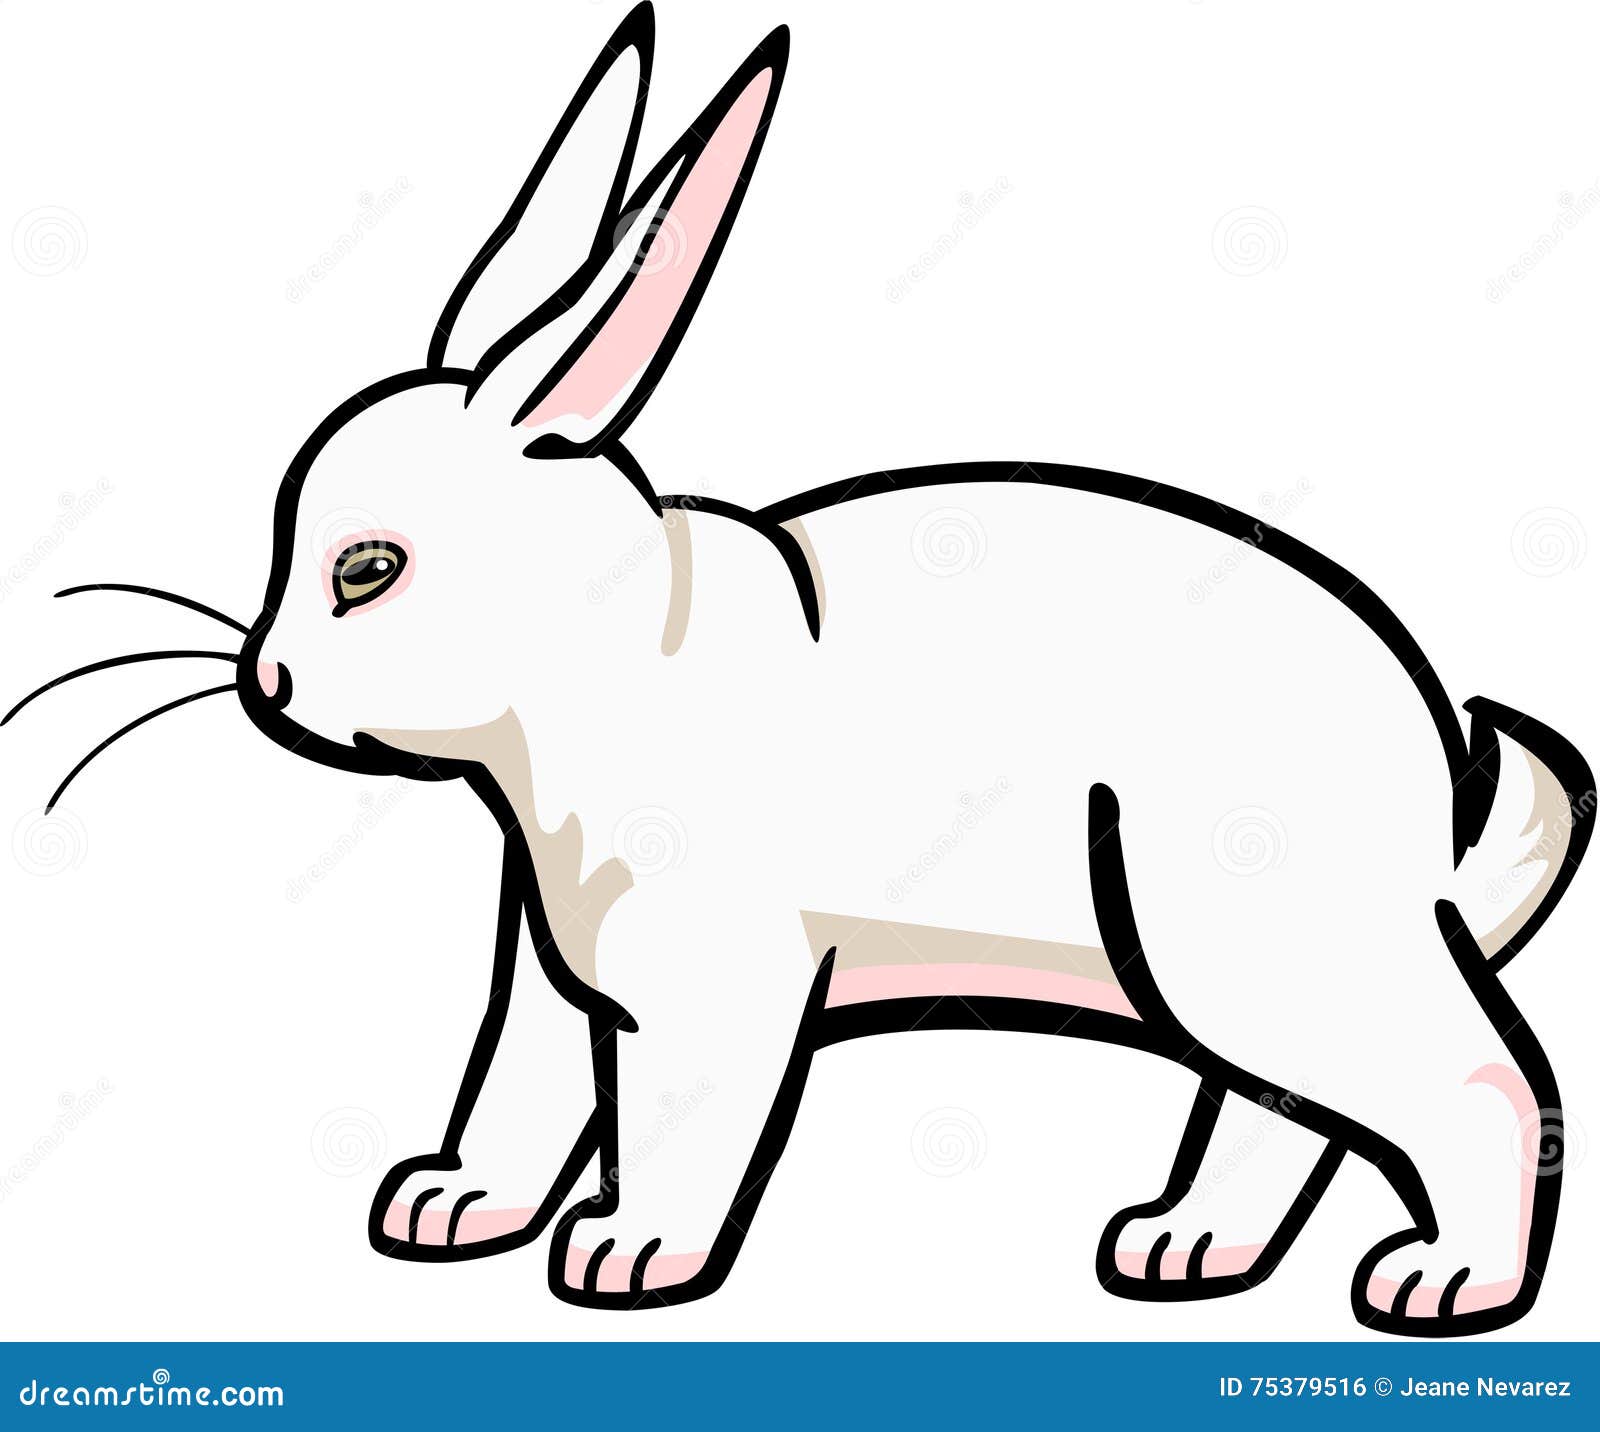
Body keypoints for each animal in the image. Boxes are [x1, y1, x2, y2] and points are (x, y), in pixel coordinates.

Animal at [13, 3, 1591, 1334]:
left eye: (366, 571)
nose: (268, 684)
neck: (600, 656)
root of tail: (1428, 764)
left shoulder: (713, 986)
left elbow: (681, 1125)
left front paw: (628, 1258)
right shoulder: (552, 979)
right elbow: (520, 1091)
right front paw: (453, 1210)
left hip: (1247, 935)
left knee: (1474, 1078)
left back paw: (1444, 1282)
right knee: (1285, 1104)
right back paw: (1183, 1246)